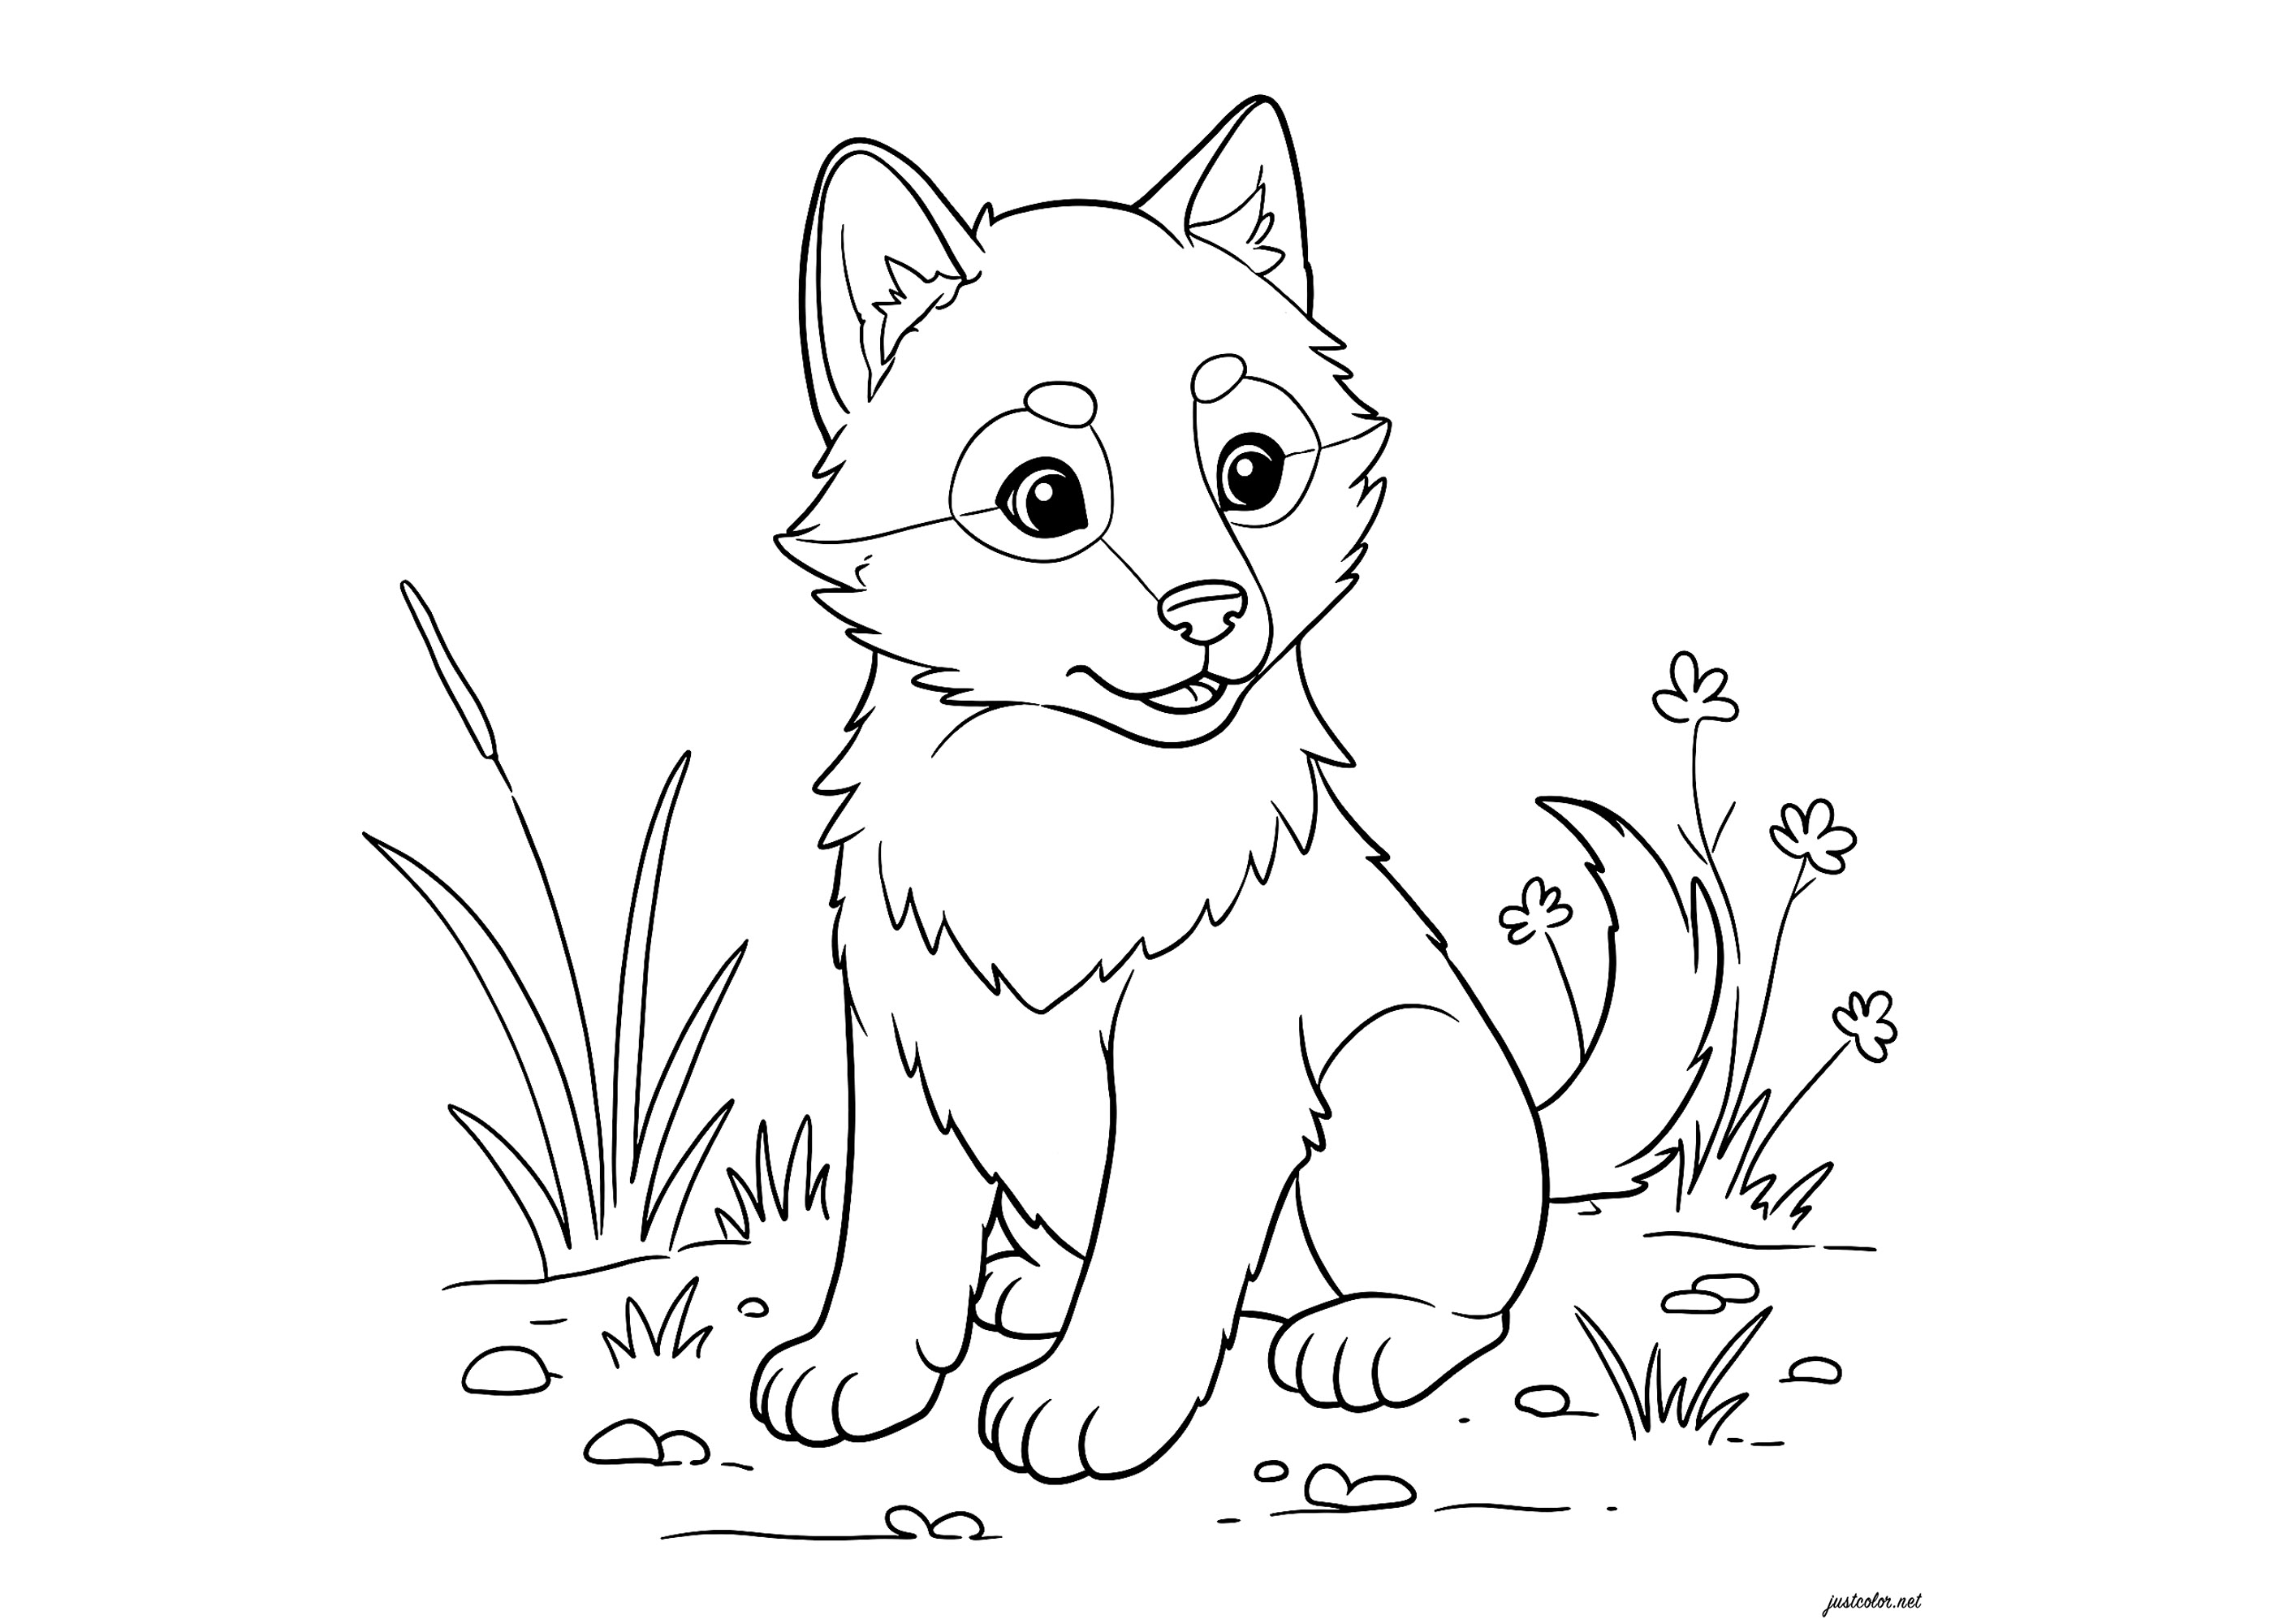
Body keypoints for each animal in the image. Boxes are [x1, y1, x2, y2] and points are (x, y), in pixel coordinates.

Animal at [754, 97, 1717, 1482]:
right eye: (1046, 499)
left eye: (1253, 471)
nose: (1212, 610)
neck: (1062, 784)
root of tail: (1540, 1145)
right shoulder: (900, 1033)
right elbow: (893, 1230)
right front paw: (860, 1365)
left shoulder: (1204, 1062)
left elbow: (1156, 1248)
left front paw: (1091, 1400)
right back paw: (1039, 1290)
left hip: (1401, 1067)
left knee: (1471, 1299)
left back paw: (1367, 1335)